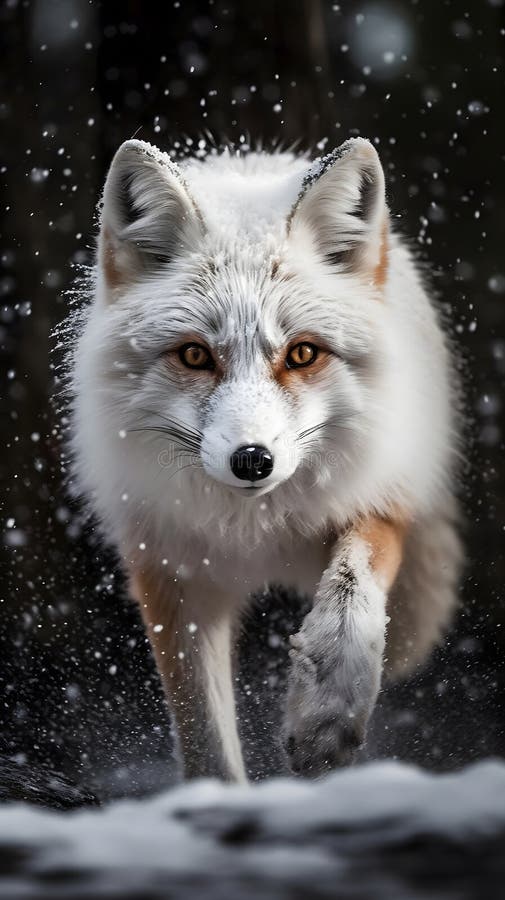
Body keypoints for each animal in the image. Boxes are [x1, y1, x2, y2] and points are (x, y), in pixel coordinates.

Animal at [68, 137, 463, 782]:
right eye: (195, 355)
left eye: (302, 354)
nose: (252, 460)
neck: (258, 531)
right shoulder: (172, 570)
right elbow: (205, 738)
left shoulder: (379, 498)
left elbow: (352, 591)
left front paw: (326, 714)